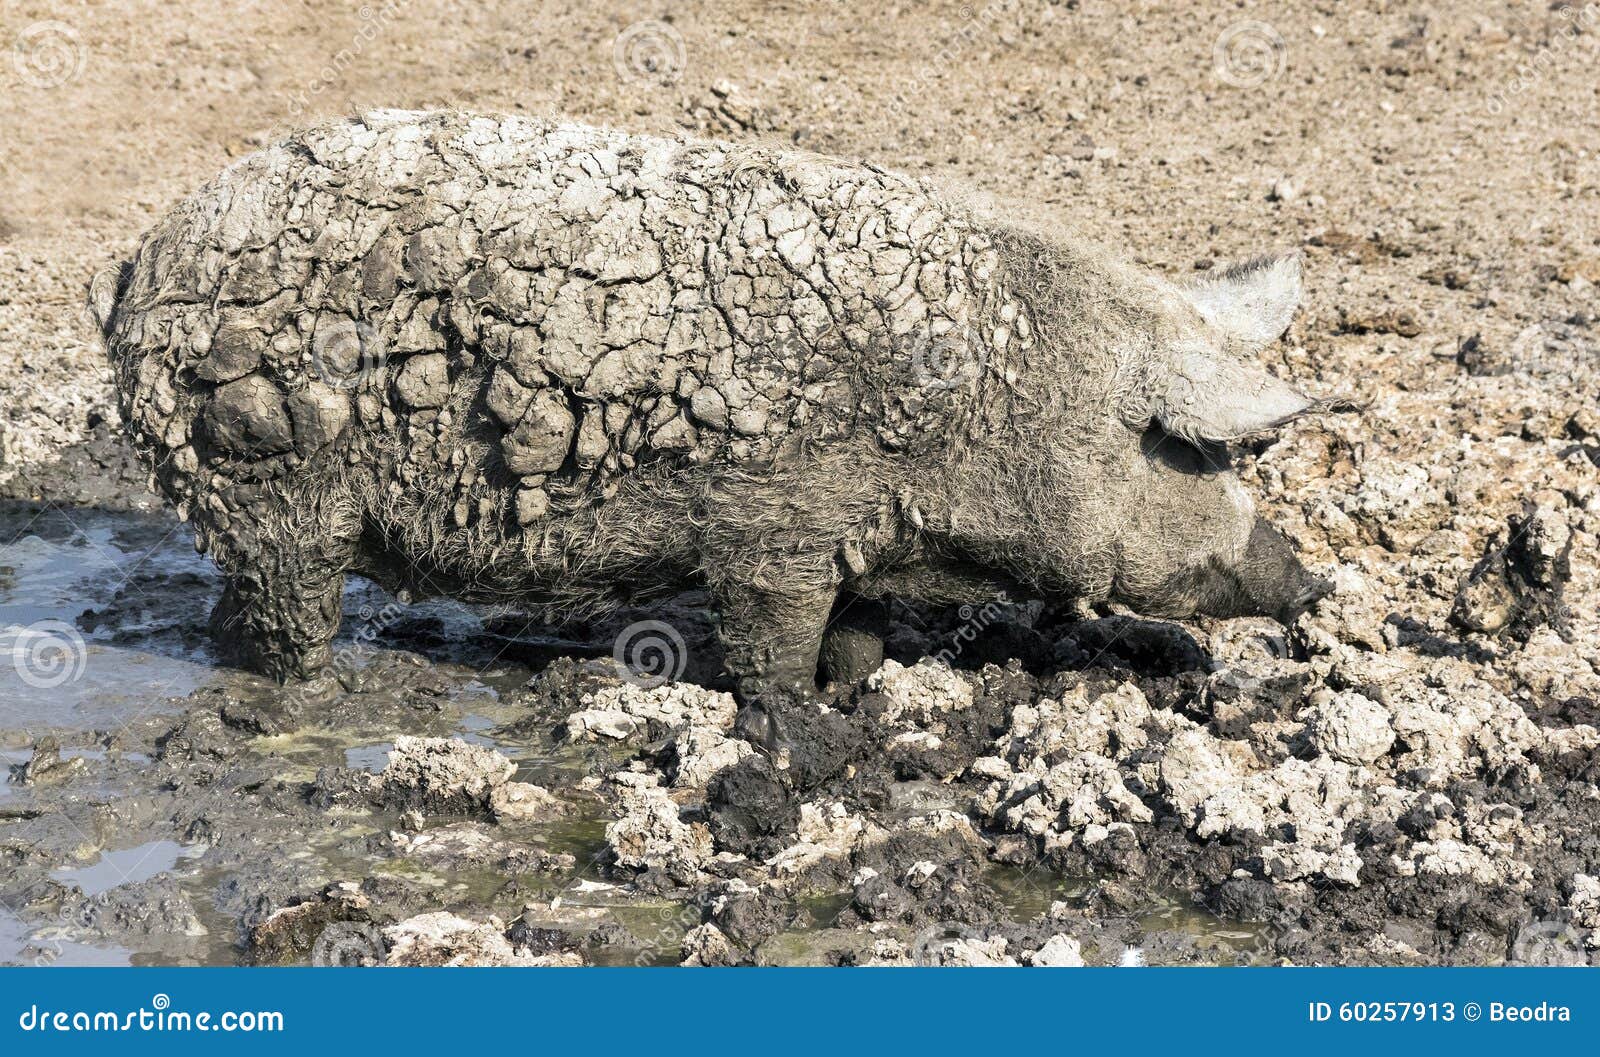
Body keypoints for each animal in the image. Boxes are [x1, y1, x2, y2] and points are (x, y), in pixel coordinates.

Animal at [89, 110, 1335, 748]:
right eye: (1194, 450)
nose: (1312, 581)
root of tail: (137, 265)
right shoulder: (769, 524)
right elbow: (769, 639)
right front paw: (803, 726)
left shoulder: (854, 531)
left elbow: (857, 629)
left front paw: (857, 688)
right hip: (270, 469)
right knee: (292, 613)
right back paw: (333, 701)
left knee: (233, 610)